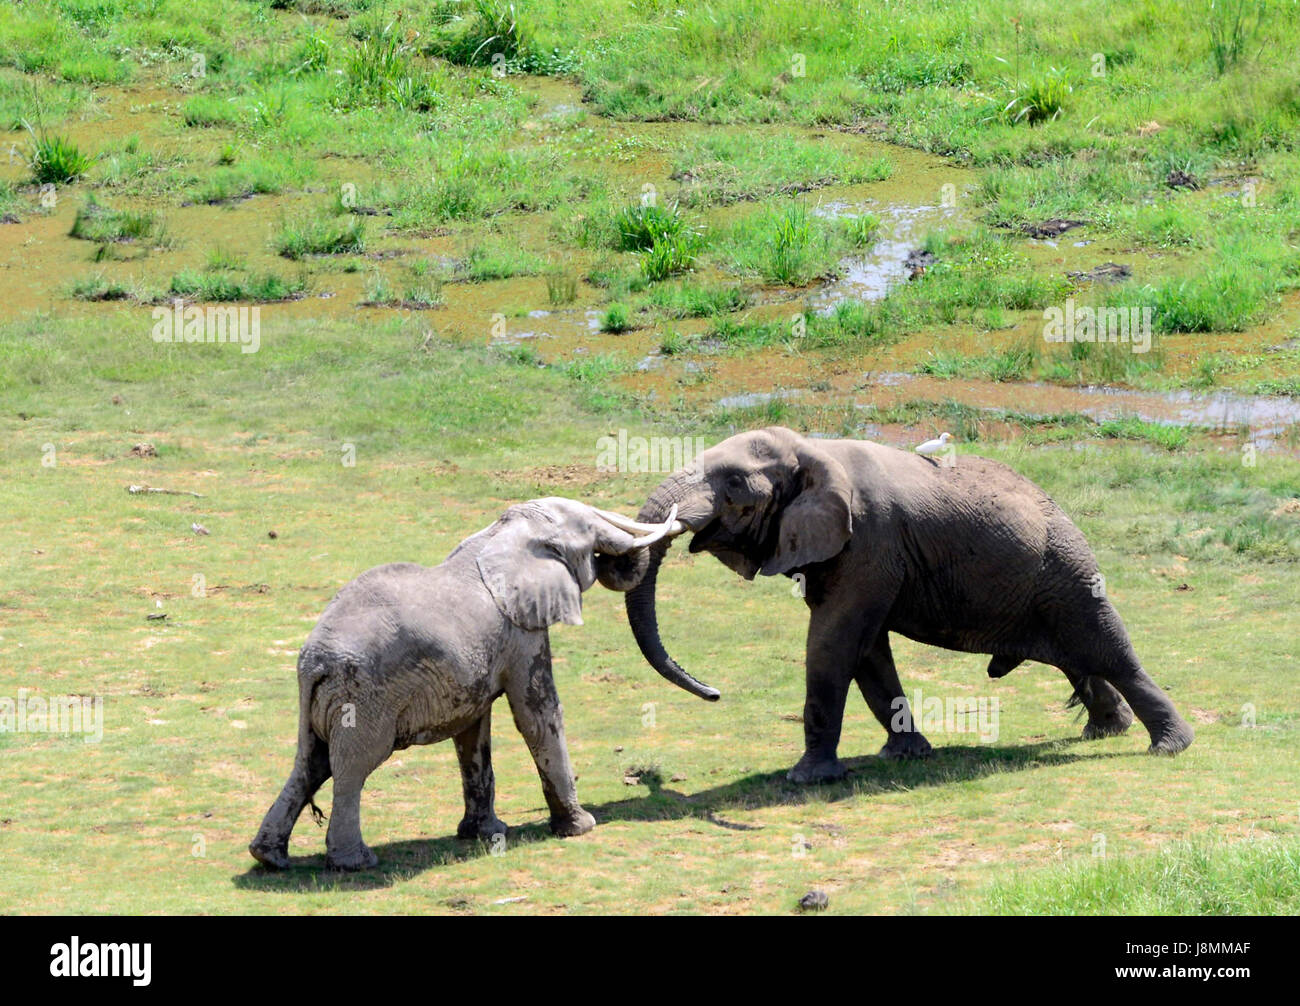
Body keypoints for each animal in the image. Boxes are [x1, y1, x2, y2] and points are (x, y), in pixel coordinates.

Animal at [249, 496, 686, 870]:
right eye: (589, 532)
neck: (499, 534)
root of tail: (313, 661)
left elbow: (472, 732)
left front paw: (484, 833)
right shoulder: (520, 631)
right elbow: (537, 715)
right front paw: (580, 827)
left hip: (325, 699)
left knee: (310, 763)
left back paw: (269, 858)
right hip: (363, 696)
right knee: (351, 768)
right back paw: (355, 863)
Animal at [615, 426, 1194, 783]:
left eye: (733, 483)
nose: (714, 693)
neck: (811, 449)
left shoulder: (870, 542)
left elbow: (834, 642)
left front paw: (805, 780)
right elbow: (867, 650)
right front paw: (905, 755)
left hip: (1067, 571)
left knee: (1109, 650)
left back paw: (1169, 747)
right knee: (1079, 658)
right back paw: (1106, 730)